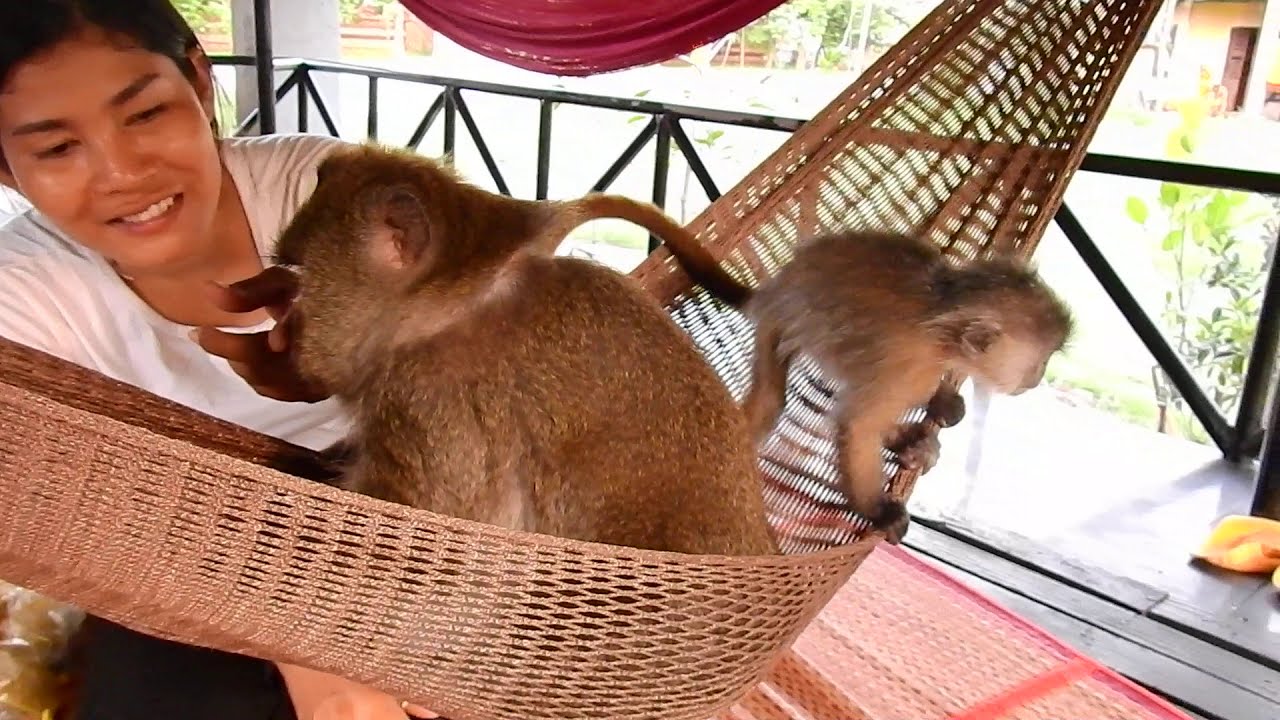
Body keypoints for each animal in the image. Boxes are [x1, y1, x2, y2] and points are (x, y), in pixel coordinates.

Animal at [651, 228, 1073, 545]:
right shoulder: (908, 364)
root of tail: (779, 282)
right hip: (777, 321)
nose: (1036, 380)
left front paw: (942, 402)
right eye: (1040, 363)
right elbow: (858, 425)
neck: (940, 316)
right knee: (775, 398)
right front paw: (877, 509)